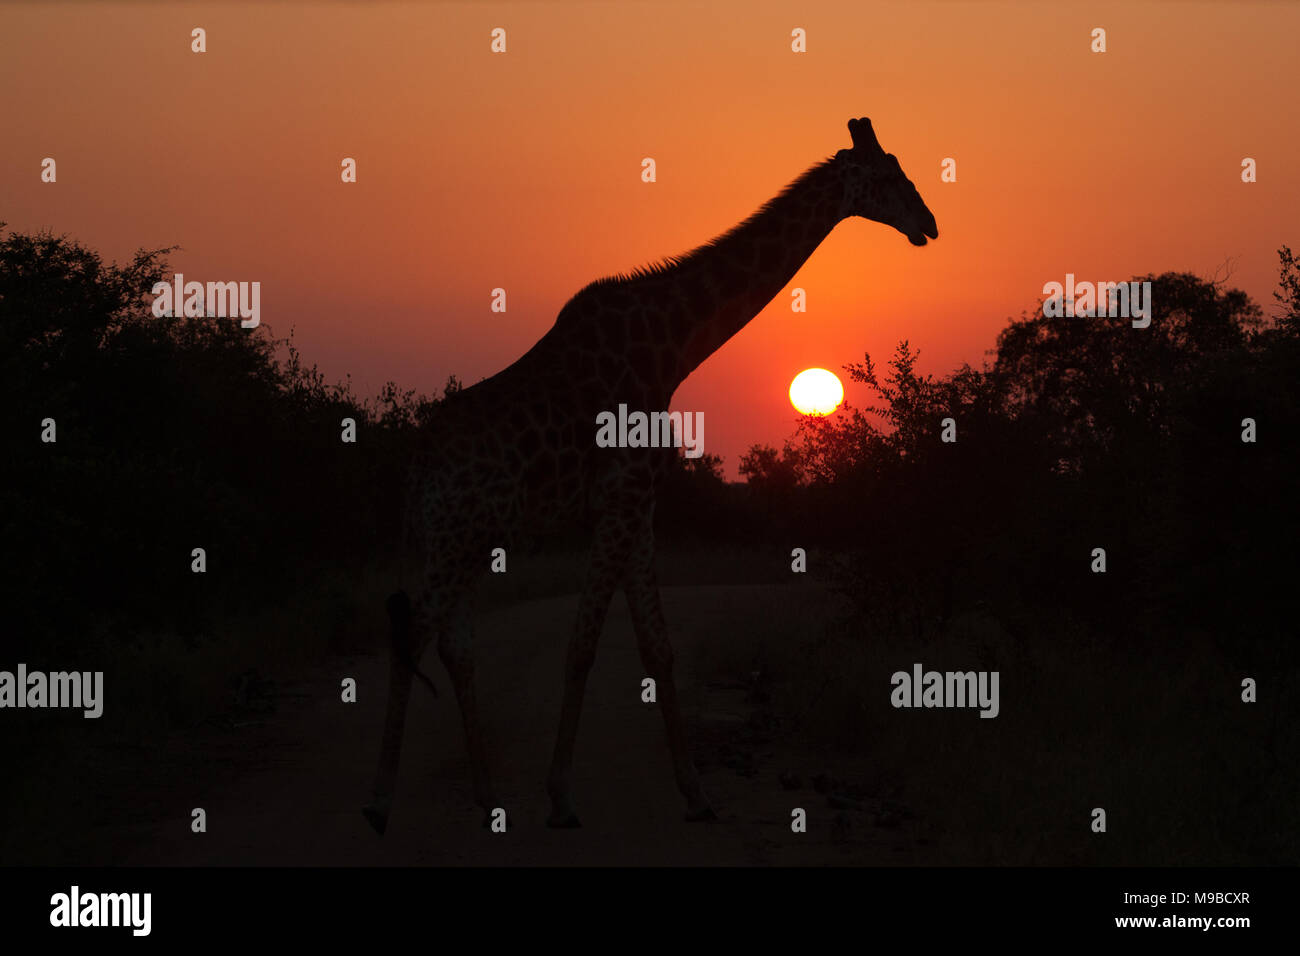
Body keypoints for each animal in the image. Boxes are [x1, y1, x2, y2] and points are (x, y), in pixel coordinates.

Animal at [363, 117, 938, 833]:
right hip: (456, 536)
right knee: (414, 630)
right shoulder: (622, 497)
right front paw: (562, 797)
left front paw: (697, 794)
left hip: (465, 539)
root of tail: (416, 471)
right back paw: (379, 805)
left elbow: (657, 648)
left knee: (453, 642)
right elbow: (583, 645)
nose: (929, 223)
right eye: (889, 176)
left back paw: (487, 795)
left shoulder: (639, 507)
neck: (675, 346)